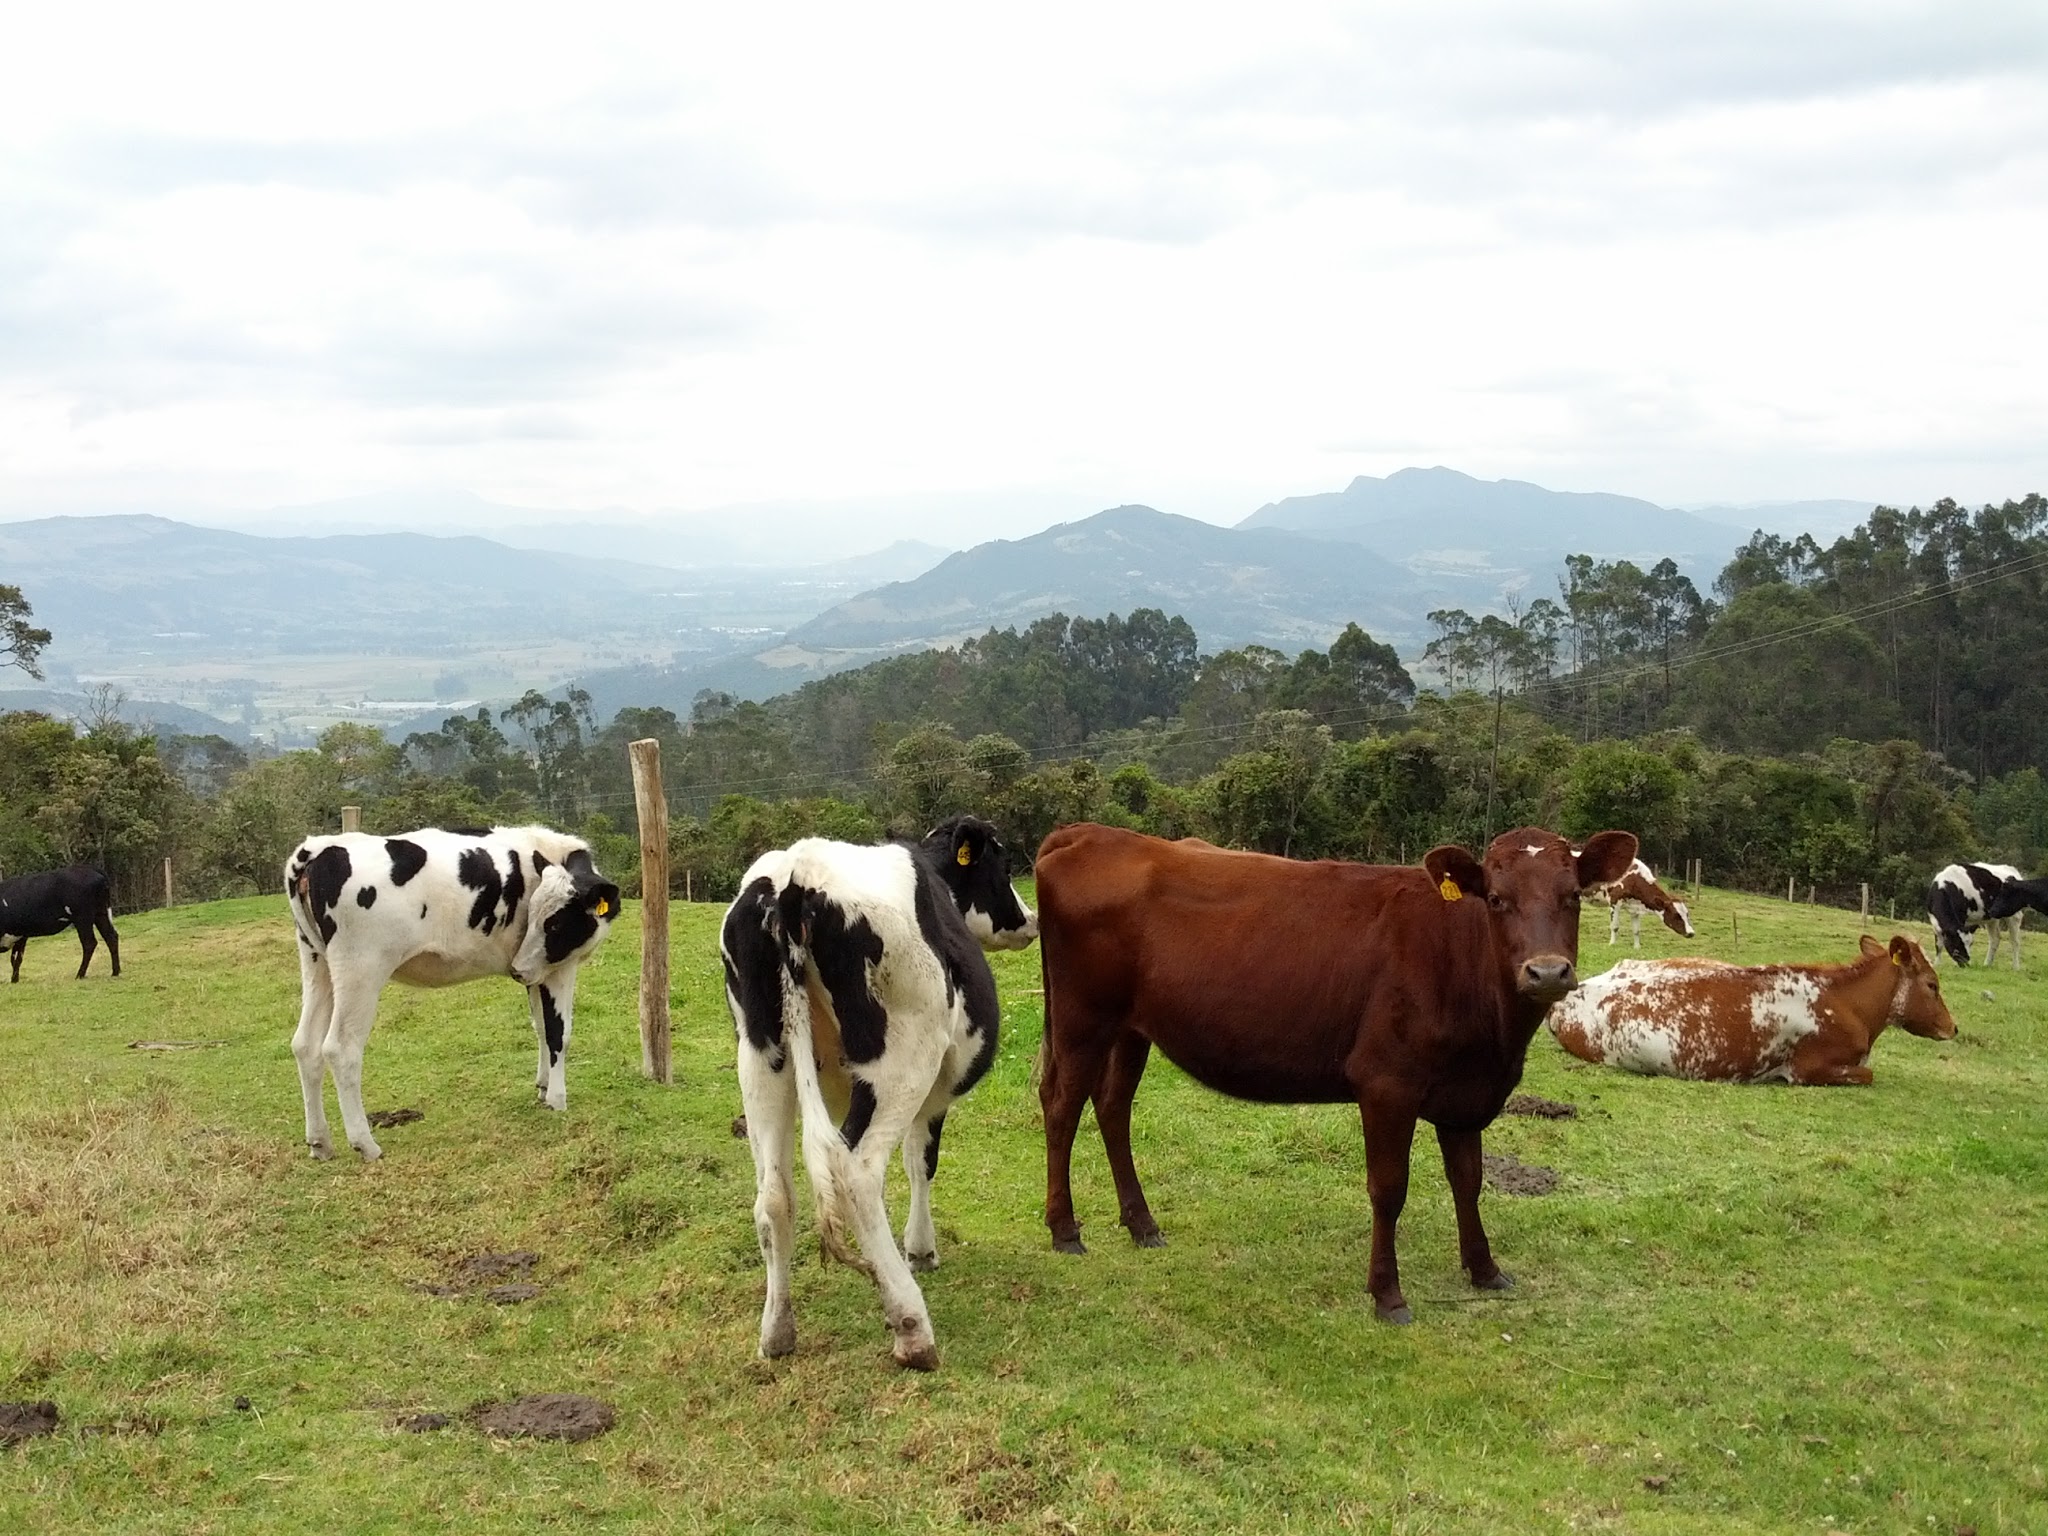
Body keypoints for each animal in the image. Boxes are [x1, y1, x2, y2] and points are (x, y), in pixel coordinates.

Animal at [286, 826, 620, 1161]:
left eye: (554, 922)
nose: (515, 969)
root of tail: (321, 847)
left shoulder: (534, 970)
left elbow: (539, 1026)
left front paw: (542, 1086)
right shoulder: (558, 967)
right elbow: (557, 1032)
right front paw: (557, 1099)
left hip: (317, 961)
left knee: (306, 1045)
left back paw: (320, 1142)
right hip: (360, 968)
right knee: (341, 1048)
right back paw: (366, 1145)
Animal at [721, 814, 1037, 1370]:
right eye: (1002, 865)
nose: (1031, 919)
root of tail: (796, 874)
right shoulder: (932, 1095)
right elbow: (921, 1161)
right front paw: (921, 1250)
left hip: (761, 1059)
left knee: (775, 1195)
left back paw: (777, 1333)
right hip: (900, 1065)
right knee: (857, 1173)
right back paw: (912, 1327)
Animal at [1032, 822, 1638, 1326]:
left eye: (1572, 896)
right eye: (1495, 899)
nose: (1547, 971)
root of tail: (1089, 833)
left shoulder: (1466, 1095)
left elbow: (1469, 1181)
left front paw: (1485, 1269)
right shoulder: (1386, 1084)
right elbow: (1388, 1189)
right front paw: (1387, 1294)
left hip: (1131, 1029)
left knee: (1112, 1108)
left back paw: (1142, 1224)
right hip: (1081, 1021)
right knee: (1061, 1106)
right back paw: (1064, 1229)